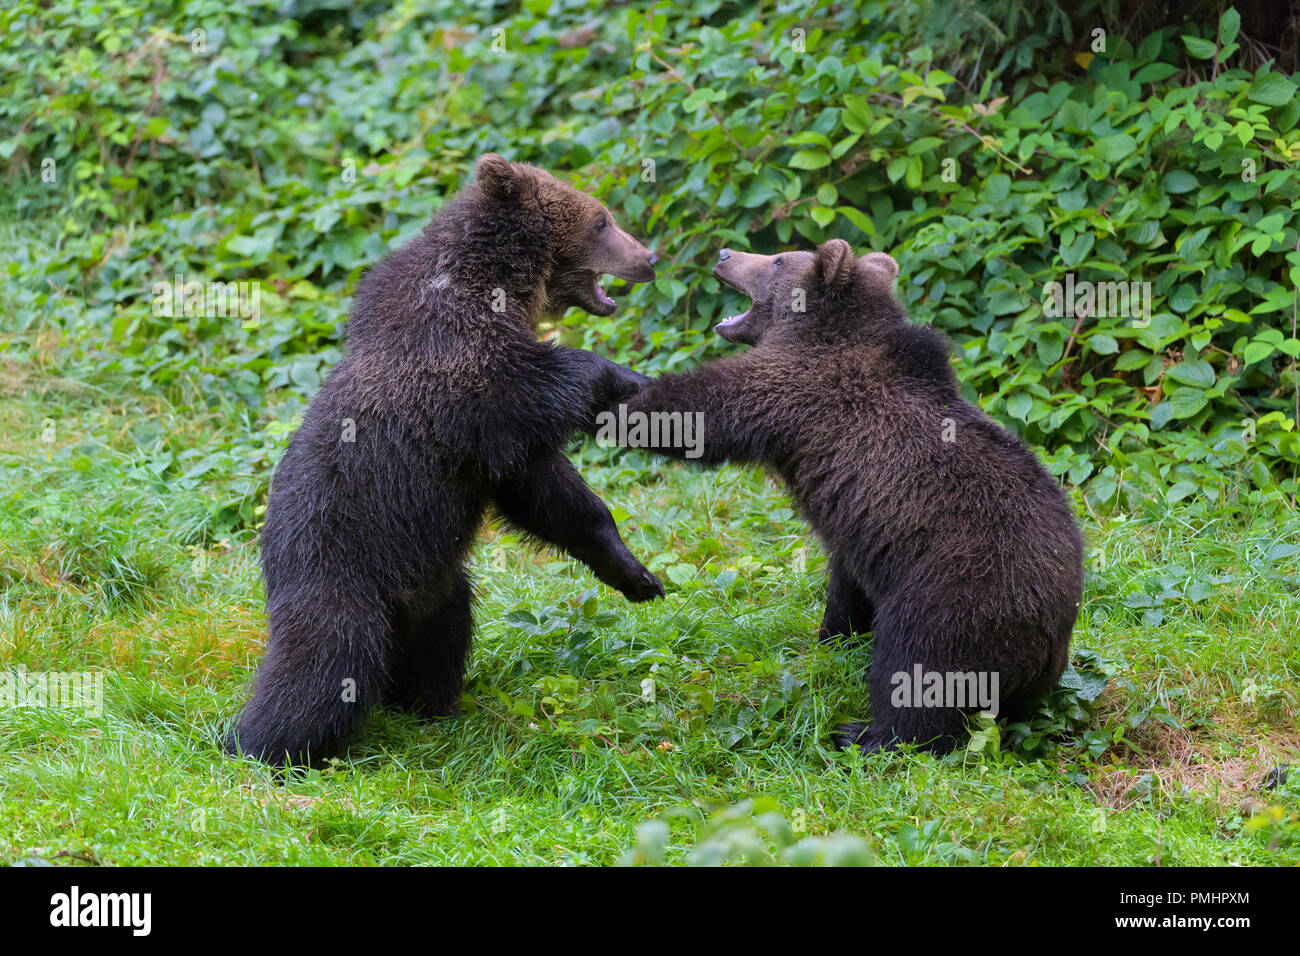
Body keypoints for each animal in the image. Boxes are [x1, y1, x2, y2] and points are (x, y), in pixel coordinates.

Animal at [226, 154, 665, 766]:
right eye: (602, 221)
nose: (649, 257)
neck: (502, 282)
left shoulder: (487, 448)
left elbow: (552, 497)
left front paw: (636, 574)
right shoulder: (461, 368)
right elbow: (529, 391)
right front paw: (625, 376)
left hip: (434, 581)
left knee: (446, 632)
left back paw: (430, 706)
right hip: (340, 573)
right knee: (323, 666)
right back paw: (259, 746)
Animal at [616, 239, 1084, 753]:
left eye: (778, 259)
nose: (723, 253)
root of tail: (1045, 641)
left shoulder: (796, 386)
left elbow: (701, 409)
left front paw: (617, 400)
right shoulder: (857, 541)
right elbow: (845, 593)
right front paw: (827, 637)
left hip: (953, 593)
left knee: (921, 672)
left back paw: (863, 733)